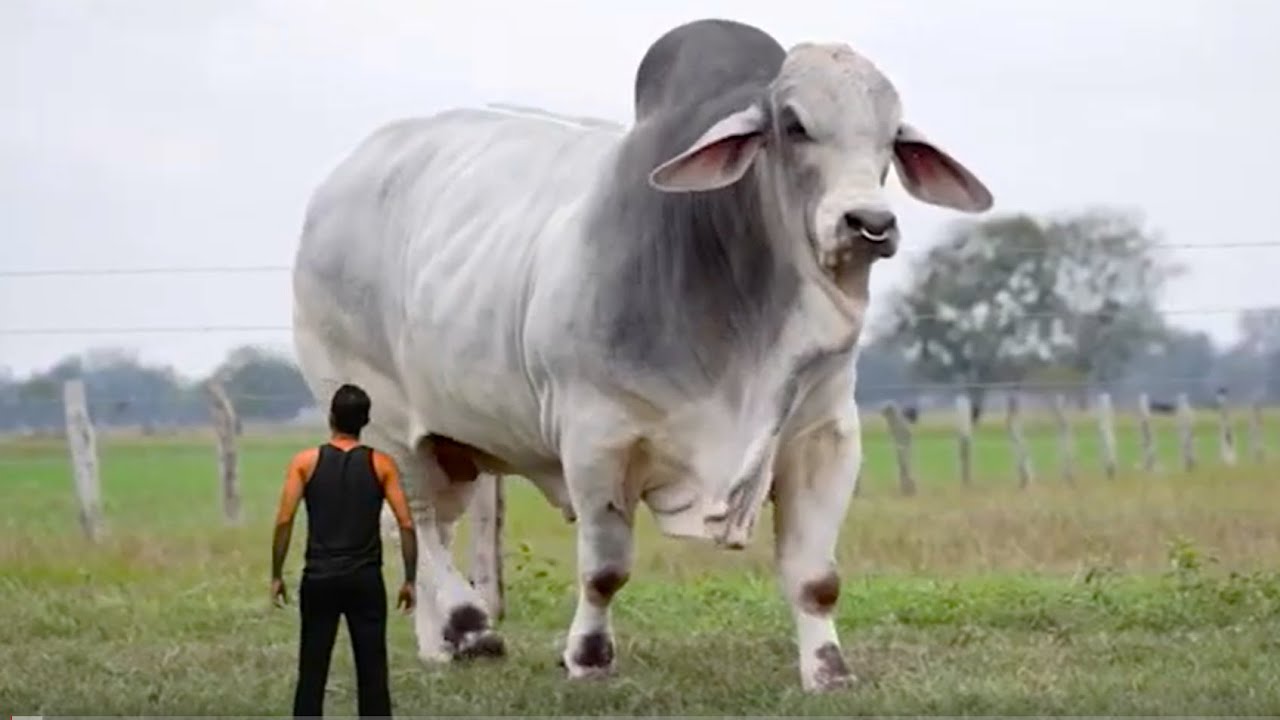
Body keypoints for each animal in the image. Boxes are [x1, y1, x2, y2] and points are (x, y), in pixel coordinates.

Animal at [291, 17, 993, 692]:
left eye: (892, 137)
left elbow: (816, 577)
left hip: (451, 445)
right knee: (416, 521)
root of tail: (339, 181)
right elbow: (605, 569)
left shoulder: (823, 438)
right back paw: (470, 626)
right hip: (382, 420)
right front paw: (588, 659)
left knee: (426, 525)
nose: (869, 223)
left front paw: (829, 671)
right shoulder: (596, 442)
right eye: (794, 125)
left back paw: (440, 644)